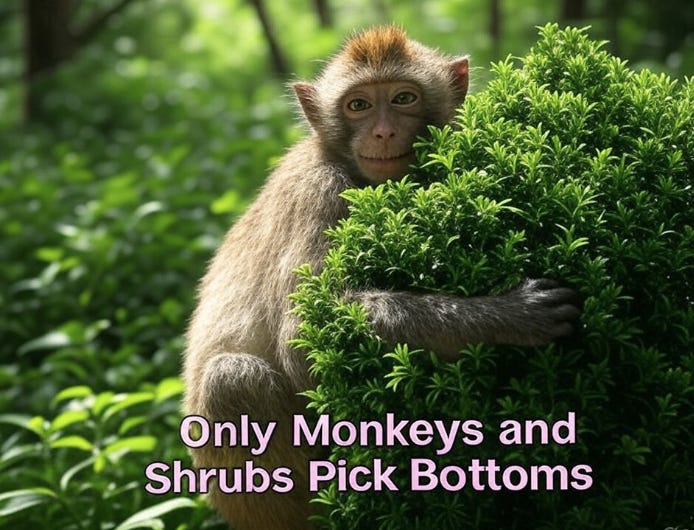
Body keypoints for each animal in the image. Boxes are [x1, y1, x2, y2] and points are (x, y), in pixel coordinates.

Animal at [183, 26, 580, 530]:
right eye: (358, 105)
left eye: (403, 98)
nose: (383, 131)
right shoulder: (319, 194)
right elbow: (301, 337)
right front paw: (509, 315)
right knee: (233, 379)